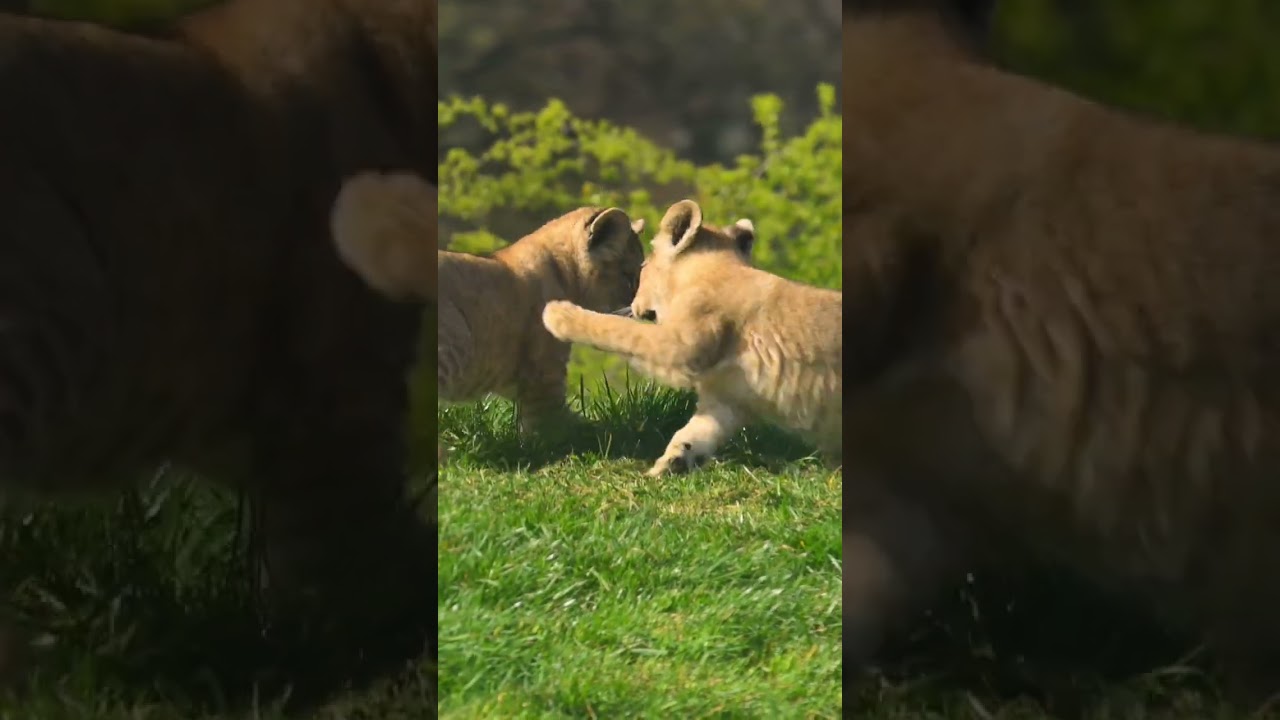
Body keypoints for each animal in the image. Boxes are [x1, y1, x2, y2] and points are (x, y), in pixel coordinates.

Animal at [330, 170, 646, 434]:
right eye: (631, 278)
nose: (642, 310)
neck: (563, 271)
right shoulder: (544, 373)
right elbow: (555, 424)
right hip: (455, 341)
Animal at [542, 199, 843, 477]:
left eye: (643, 267)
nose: (633, 302)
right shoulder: (727, 397)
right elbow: (694, 432)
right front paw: (668, 465)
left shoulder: (683, 346)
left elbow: (618, 330)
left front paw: (557, 313)